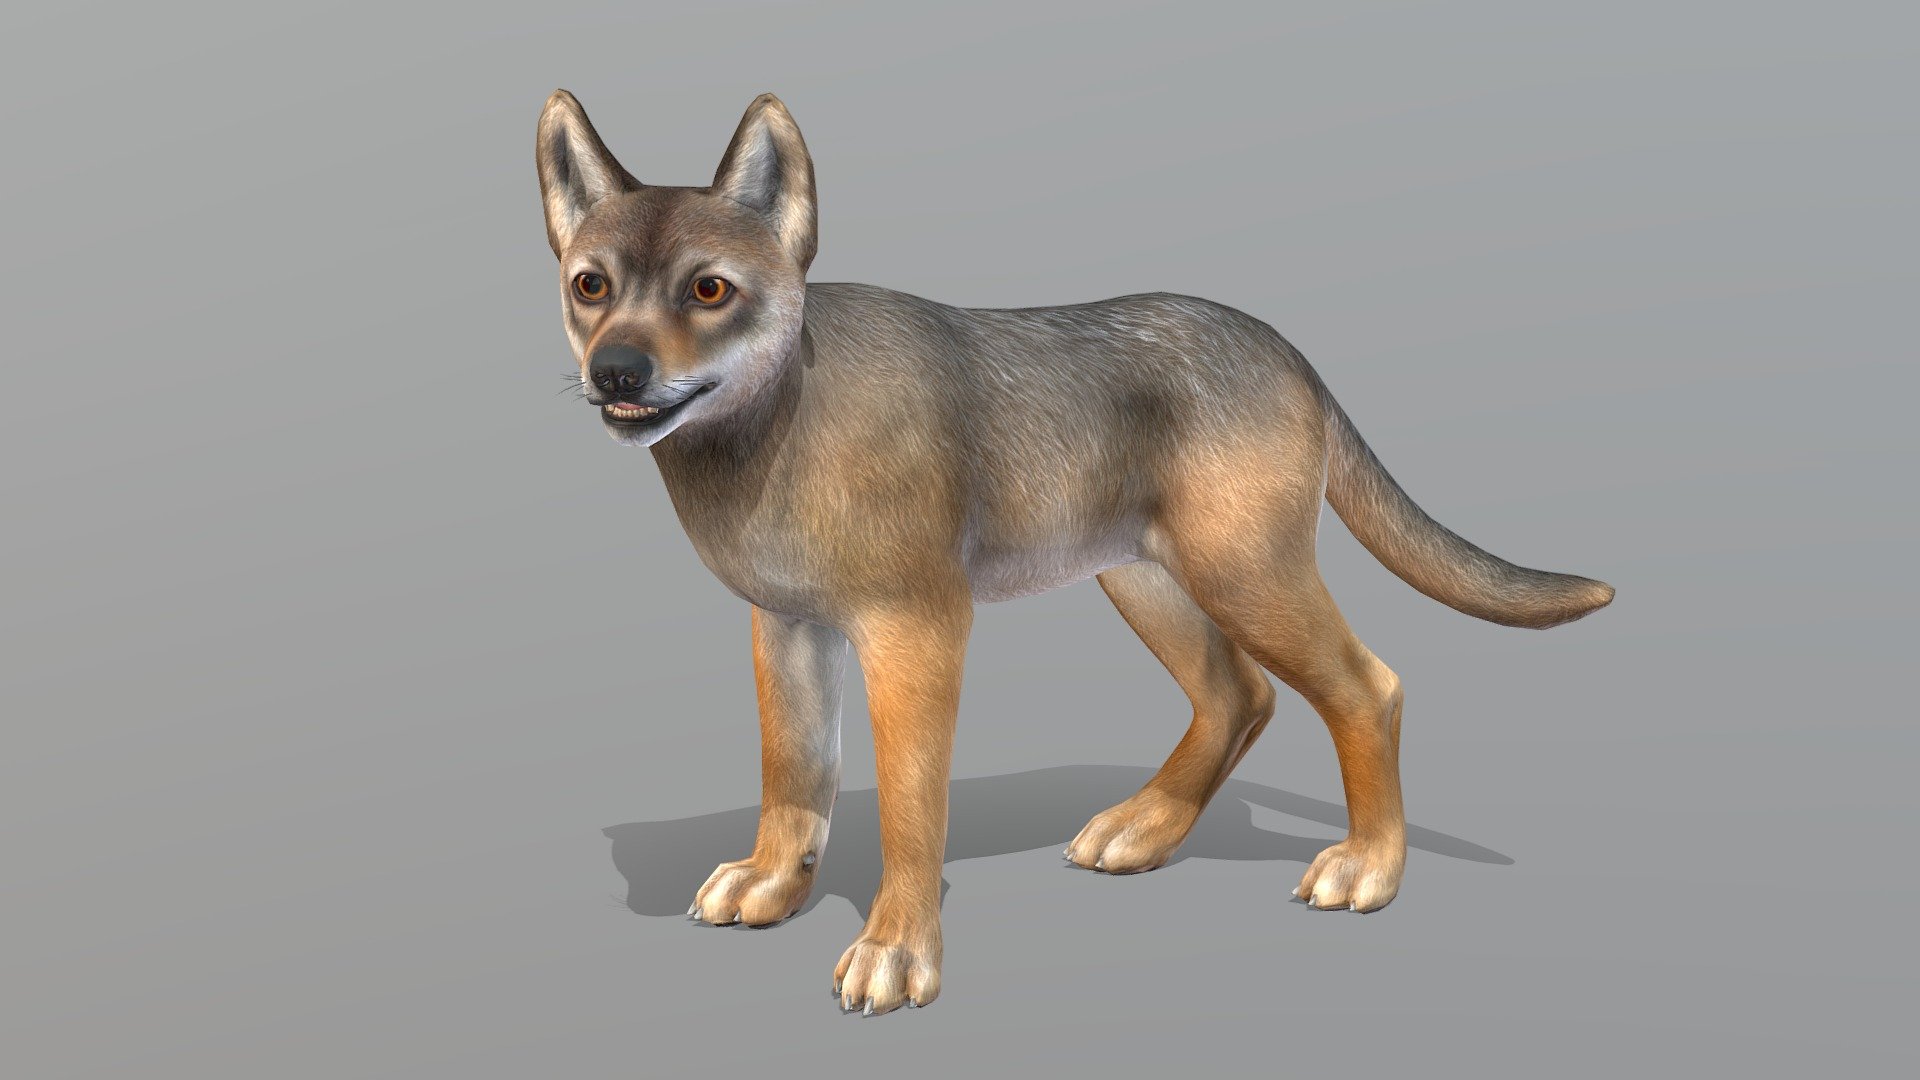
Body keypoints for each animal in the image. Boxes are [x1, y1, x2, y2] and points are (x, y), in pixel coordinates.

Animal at [536, 90, 1613, 1016]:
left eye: (709, 289)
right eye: (591, 286)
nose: (616, 372)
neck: (778, 429)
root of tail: (1287, 351)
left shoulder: (917, 632)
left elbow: (909, 810)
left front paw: (895, 949)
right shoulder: (789, 628)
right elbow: (792, 773)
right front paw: (774, 881)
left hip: (1243, 576)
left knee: (1366, 687)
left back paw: (1370, 865)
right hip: (1145, 578)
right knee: (1241, 694)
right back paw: (1145, 827)